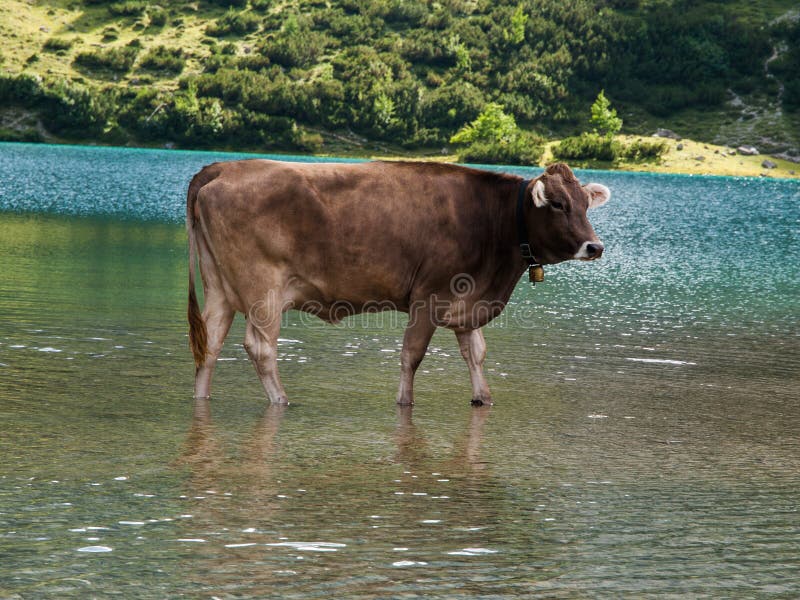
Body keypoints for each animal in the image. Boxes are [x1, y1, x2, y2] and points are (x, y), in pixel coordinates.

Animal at [187, 160, 610, 406]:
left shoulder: (468, 299)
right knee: (260, 347)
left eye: (585, 204)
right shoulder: (429, 296)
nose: (595, 246)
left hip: (219, 287)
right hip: (263, 289)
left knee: (209, 343)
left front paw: (483, 398)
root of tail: (224, 166)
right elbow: (412, 355)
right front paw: (404, 402)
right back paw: (281, 400)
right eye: (558, 204)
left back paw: (201, 396)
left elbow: (476, 353)